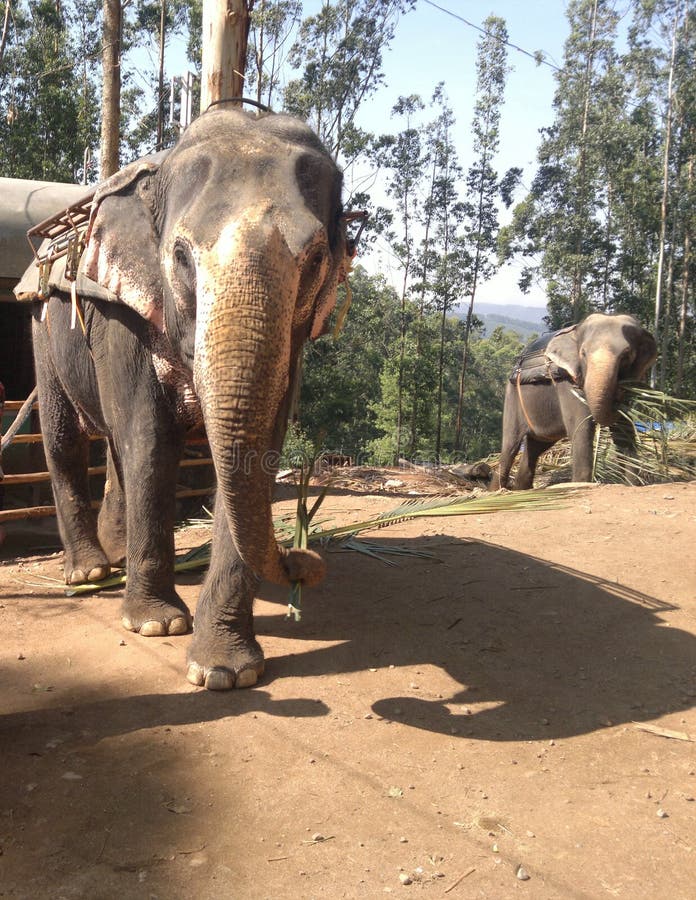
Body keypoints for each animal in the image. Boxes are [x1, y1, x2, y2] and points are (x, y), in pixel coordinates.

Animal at [17, 104, 354, 690]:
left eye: (314, 258)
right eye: (179, 255)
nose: (305, 561)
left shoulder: (292, 345)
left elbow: (255, 455)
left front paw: (225, 672)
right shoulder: (120, 314)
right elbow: (152, 442)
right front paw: (157, 626)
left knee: (115, 448)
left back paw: (116, 556)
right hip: (42, 323)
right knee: (67, 438)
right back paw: (90, 571)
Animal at [494, 313, 657, 489]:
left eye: (626, 356)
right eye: (583, 354)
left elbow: (624, 431)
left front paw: (633, 484)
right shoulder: (566, 382)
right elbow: (581, 429)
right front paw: (581, 483)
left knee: (536, 445)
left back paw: (521, 489)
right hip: (512, 397)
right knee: (510, 446)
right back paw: (498, 489)